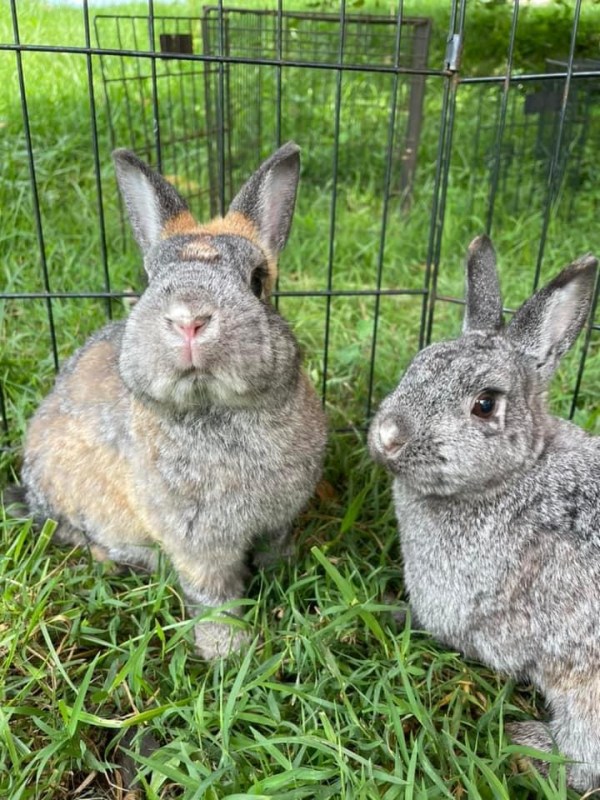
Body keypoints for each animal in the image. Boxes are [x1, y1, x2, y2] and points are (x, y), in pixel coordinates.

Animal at [20, 142, 327, 660]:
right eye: (148, 280)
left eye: (257, 280)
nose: (189, 319)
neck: (213, 408)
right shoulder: (195, 543)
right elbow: (212, 593)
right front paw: (228, 650)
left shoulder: (278, 520)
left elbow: (273, 551)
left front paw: (284, 579)